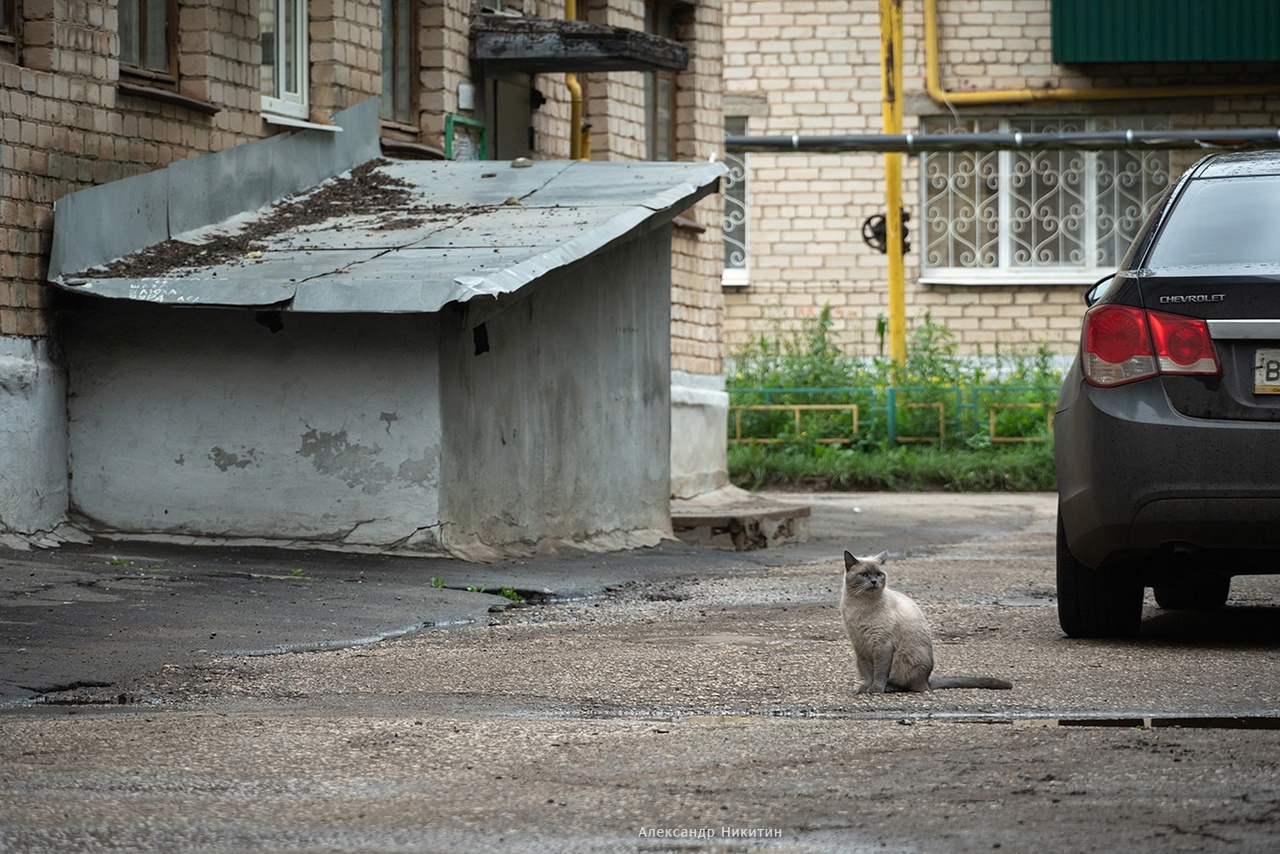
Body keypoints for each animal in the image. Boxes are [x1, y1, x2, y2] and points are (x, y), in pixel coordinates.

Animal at [839, 547, 1008, 696]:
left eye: (879, 574)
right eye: (864, 574)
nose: (874, 581)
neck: (860, 606)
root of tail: (927, 680)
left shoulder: (881, 645)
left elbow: (879, 673)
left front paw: (875, 690)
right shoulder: (861, 646)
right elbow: (868, 672)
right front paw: (865, 688)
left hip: (905, 659)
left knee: (911, 686)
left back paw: (890, 688)